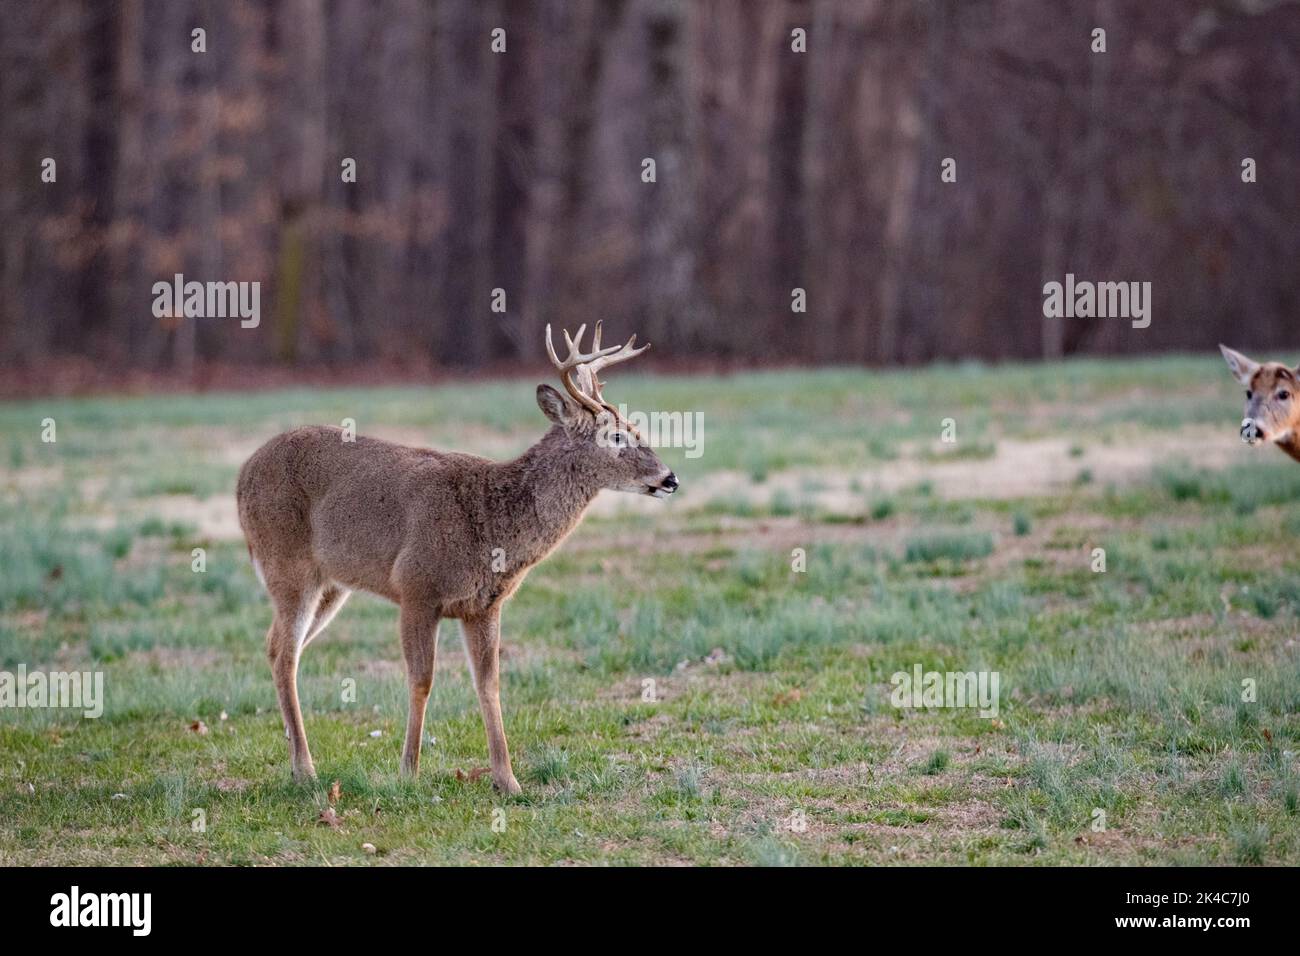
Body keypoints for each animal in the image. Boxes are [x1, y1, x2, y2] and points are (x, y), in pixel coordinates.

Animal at [236, 323, 678, 794]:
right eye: (616, 435)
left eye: (635, 426)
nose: (670, 478)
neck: (491, 522)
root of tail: (242, 475)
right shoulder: (416, 586)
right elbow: (422, 680)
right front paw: (408, 771)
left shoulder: (484, 606)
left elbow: (489, 686)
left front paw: (508, 780)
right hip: (287, 564)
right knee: (284, 652)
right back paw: (306, 768)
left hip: (331, 584)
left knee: (280, 648)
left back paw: (294, 755)